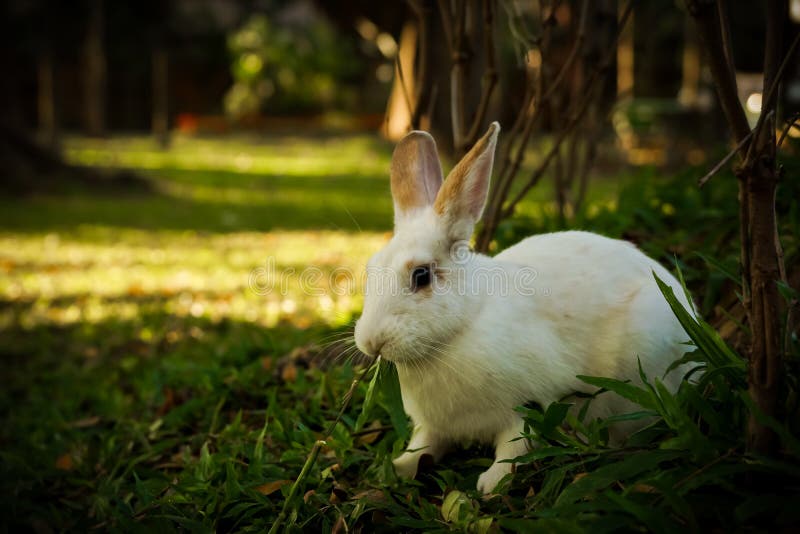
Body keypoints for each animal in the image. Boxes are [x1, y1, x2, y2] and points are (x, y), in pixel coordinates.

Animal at [353, 122, 694, 494]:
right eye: (370, 268)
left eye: (421, 276)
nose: (371, 342)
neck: (462, 326)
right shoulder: (434, 426)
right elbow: (424, 444)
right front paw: (397, 467)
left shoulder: (526, 406)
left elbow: (514, 446)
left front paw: (489, 484)